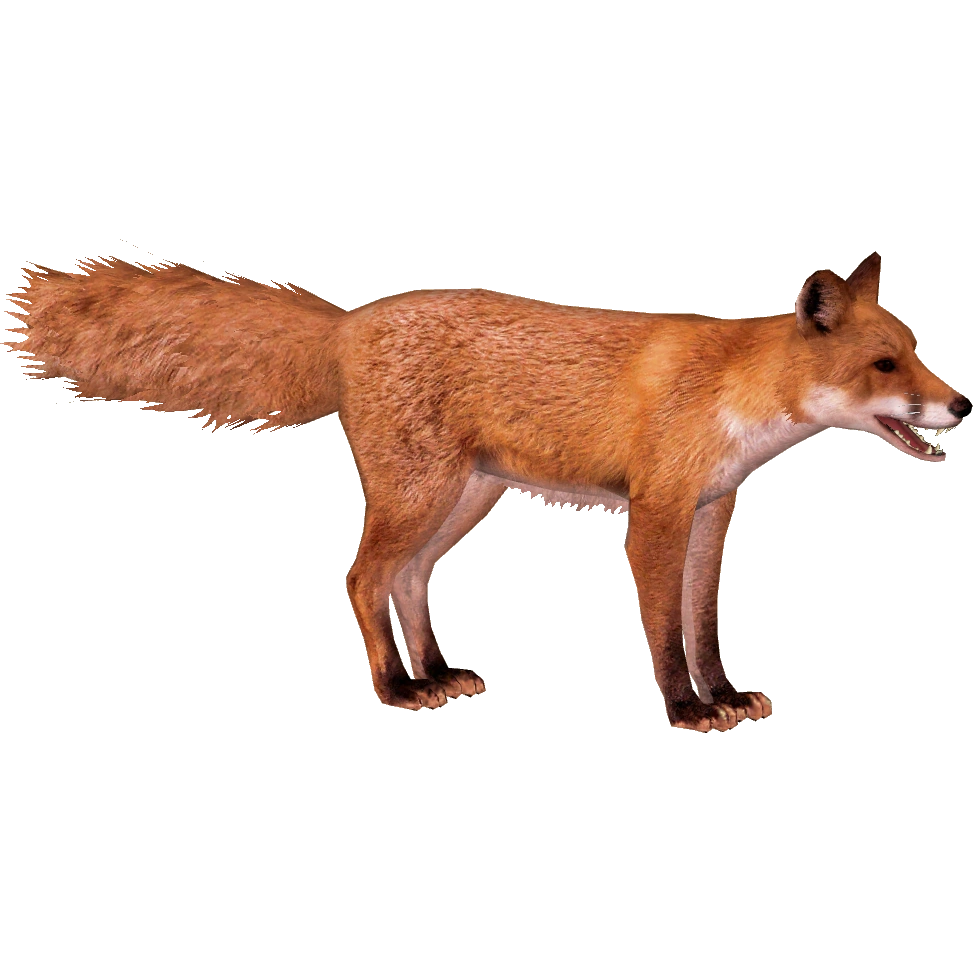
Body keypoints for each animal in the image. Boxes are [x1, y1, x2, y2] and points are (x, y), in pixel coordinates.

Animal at [1, 249, 967, 732]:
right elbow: (664, 632)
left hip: (464, 500)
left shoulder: (711, 510)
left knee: (406, 578)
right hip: (421, 495)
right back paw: (394, 688)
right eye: (885, 365)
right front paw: (686, 708)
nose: (959, 403)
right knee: (360, 576)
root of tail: (352, 320)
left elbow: (705, 623)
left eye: (916, 350)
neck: (734, 389)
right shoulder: (655, 512)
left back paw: (433, 671)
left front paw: (723, 691)